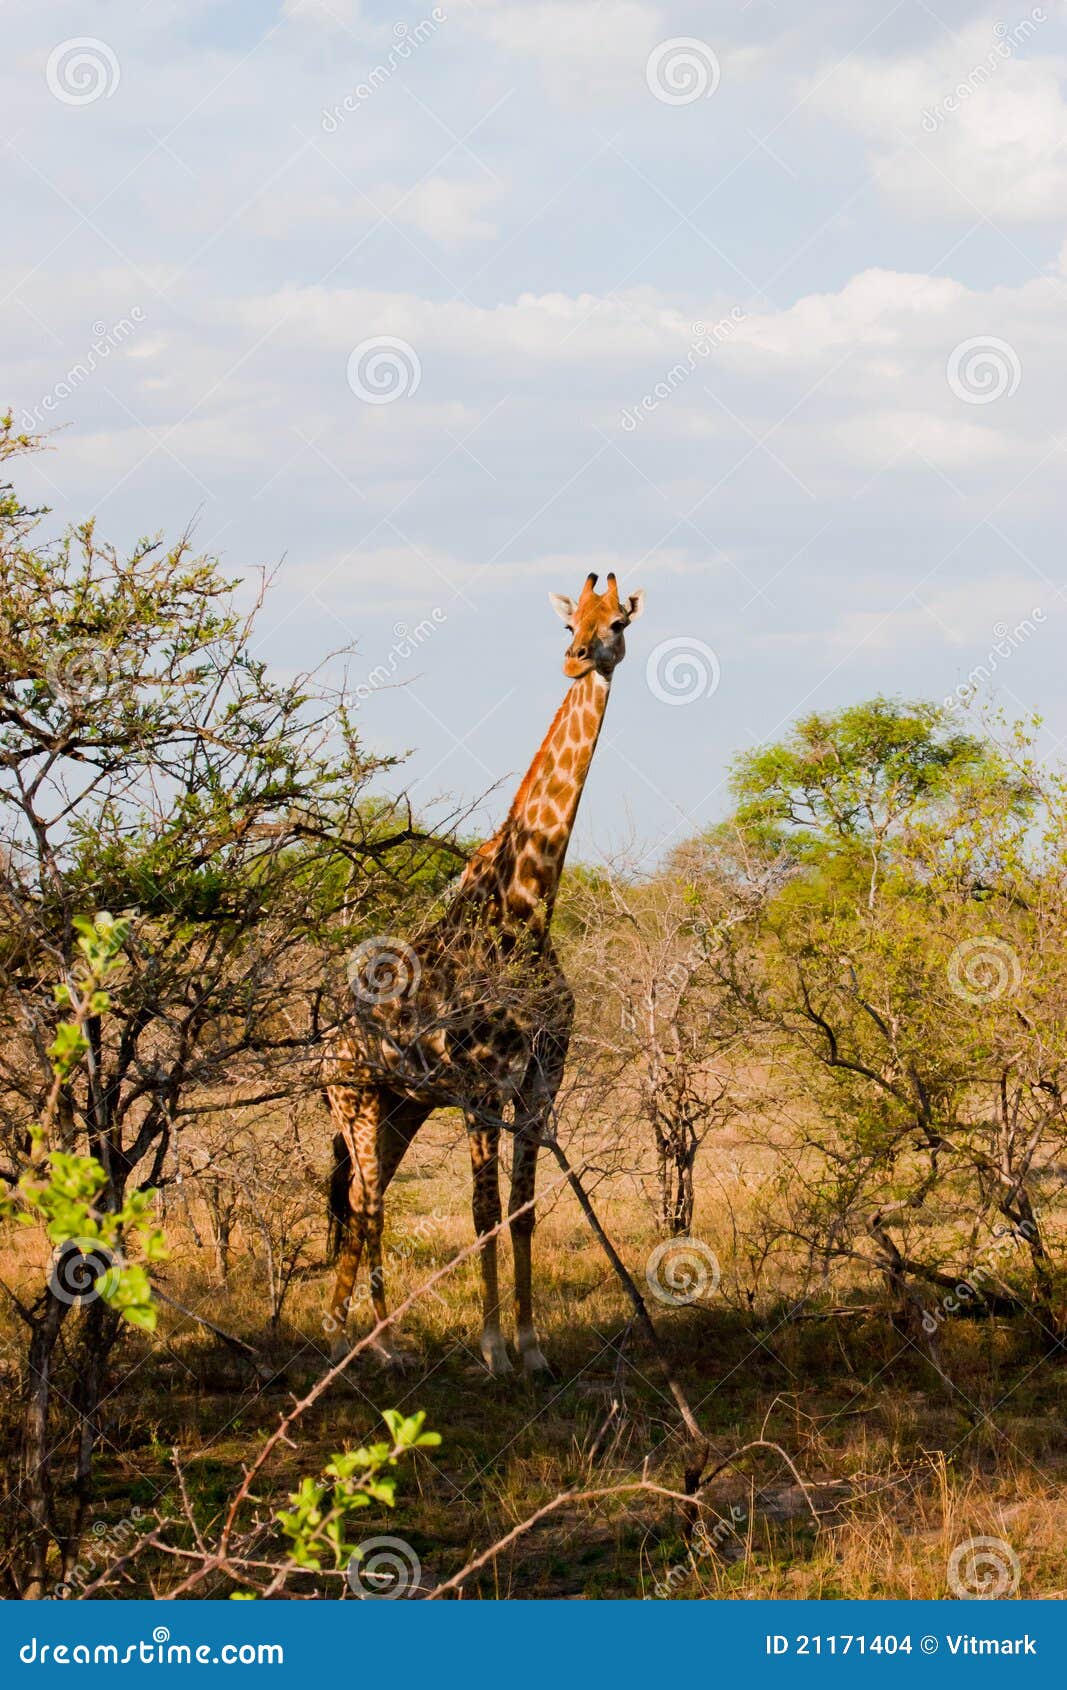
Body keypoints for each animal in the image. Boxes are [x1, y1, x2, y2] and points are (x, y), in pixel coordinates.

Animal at [323, 571, 645, 1375]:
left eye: (618, 623)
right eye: (569, 622)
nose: (575, 658)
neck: (527, 908)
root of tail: (329, 1039)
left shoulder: (540, 1081)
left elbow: (523, 1210)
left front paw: (531, 1350)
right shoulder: (479, 1086)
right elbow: (481, 1210)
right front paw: (492, 1350)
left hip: (399, 1109)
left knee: (364, 1206)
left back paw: (361, 1338)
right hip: (354, 1101)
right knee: (367, 1204)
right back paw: (361, 1342)